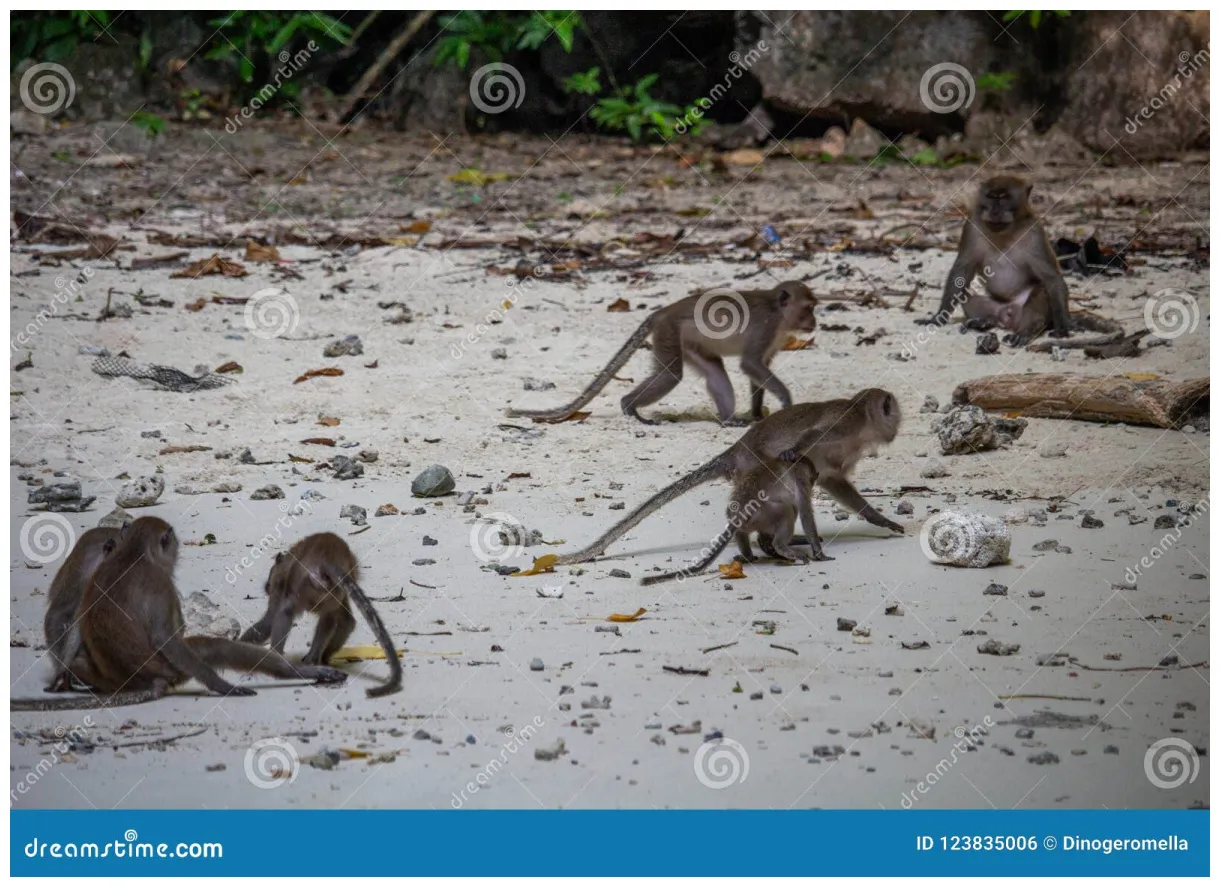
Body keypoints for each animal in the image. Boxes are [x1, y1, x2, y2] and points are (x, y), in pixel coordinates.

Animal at [240, 533, 402, 699]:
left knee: (291, 612)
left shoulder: (279, 583)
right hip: (333, 591)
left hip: (310, 586)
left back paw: (284, 658)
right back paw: (316, 658)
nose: (267, 586)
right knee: (333, 619)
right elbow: (346, 621)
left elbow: (269, 621)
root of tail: (324, 563)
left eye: (271, 574)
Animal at [505, 281, 818, 425]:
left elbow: (757, 369)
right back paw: (630, 407)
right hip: (669, 332)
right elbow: (751, 363)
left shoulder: (776, 336)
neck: (780, 313)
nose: (815, 322)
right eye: (808, 308)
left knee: (714, 372)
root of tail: (663, 312)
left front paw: (756, 414)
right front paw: (786, 400)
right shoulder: (766, 327)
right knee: (671, 375)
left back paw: (728, 420)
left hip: (688, 342)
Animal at [551, 388, 903, 566]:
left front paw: (879, 518)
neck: (862, 427)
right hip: (755, 469)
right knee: (784, 498)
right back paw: (775, 543)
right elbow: (808, 440)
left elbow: (832, 480)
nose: (898, 424)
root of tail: (736, 450)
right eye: (894, 411)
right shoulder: (845, 421)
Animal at [641, 455, 826, 586]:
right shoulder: (801, 483)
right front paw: (820, 553)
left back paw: (750, 555)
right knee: (788, 510)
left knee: (743, 531)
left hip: (750, 519)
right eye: (811, 479)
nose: (814, 482)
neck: (793, 465)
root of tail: (739, 514)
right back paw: (779, 547)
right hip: (766, 513)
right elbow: (805, 514)